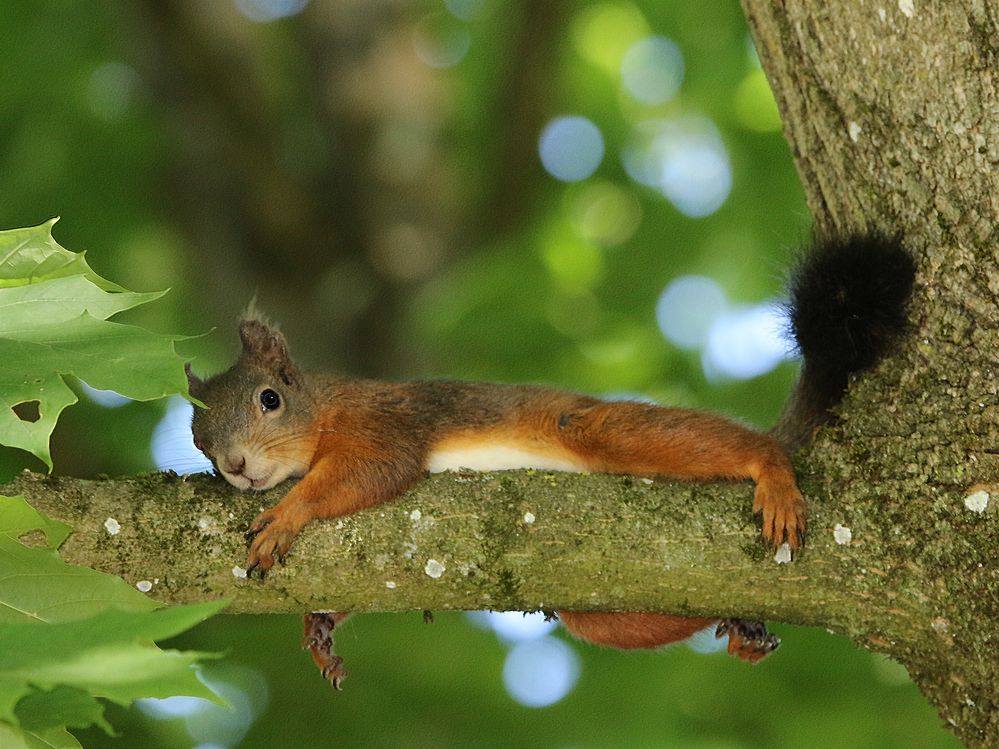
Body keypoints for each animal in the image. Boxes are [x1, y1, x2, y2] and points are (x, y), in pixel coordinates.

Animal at [186, 232, 916, 684]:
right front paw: (321, 625)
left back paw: (771, 473)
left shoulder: (387, 422)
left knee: (734, 446)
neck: (327, 406)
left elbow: (373, 472)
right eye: (197, 440)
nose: (236, 467)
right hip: (602, 599)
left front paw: (287, 513)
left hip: (592, 429)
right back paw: (737, 622)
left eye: (270, 399)